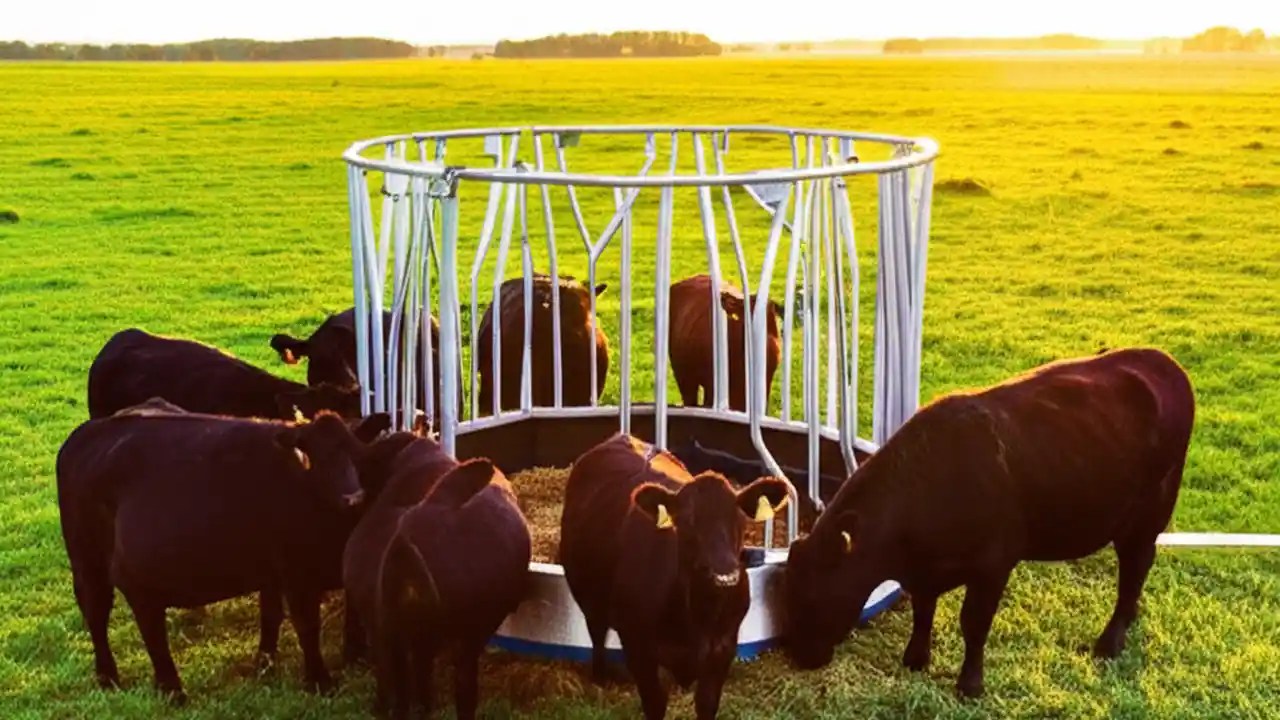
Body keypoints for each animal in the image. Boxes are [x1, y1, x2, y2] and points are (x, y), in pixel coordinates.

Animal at [57, 409, 389, 702]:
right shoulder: (296, 574)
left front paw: (266, 664)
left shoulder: (273, 571)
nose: (353, 498)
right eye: (316, 459)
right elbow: (307, 627)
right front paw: (319, 681)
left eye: (357, 453)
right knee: (101, 614)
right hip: (90, 562)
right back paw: (130, 682)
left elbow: (273, 615)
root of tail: (85, 433)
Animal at [559, 433, 792, 719]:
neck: (697, 615)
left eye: (739, 519)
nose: (724, 574)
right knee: (597, 634)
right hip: (591, 601)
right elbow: (655, 703)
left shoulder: (723, 647)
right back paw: (600, 678)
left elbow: (707, 703)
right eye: (687, 522)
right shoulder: (638, 646)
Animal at [783, 348, 1195, 698]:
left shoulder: (993, 565)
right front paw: (915, 659)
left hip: (1146, 517)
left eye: (816, 594)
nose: (800, 656)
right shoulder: (925, 573)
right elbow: (923, 610)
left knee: (1135, 568)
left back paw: (1110, 640)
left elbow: (974, 623)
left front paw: (970, 684)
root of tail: (1163, 363)